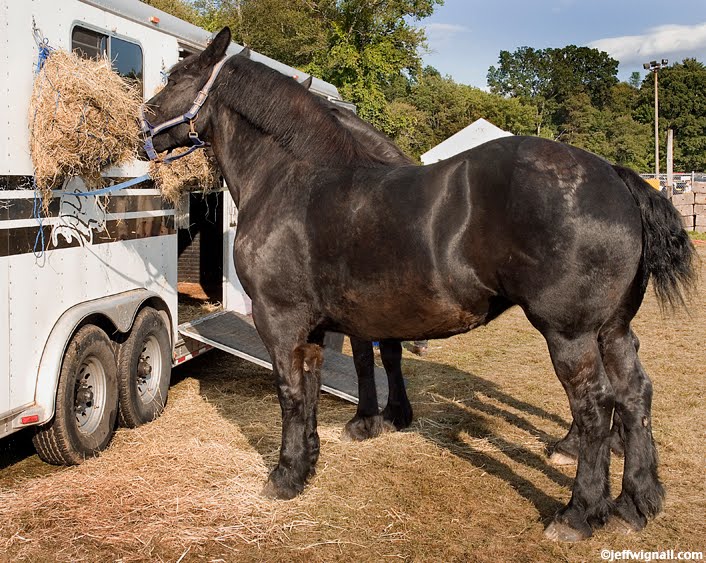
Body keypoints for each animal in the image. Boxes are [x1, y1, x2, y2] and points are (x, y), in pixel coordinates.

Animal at [141, 28, 696, 541]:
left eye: (175, 76)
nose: (142, 123)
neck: (293, 178)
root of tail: (615, 177)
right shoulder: (321, 325)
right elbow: (320, 385)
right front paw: (313, 459)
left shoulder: (280, 320)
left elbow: (292, 393)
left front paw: (285, 475)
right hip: (612, 331)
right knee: (634, 394)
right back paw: (636, 502)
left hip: (571, 335)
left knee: (595, 408)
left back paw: (579, 513)